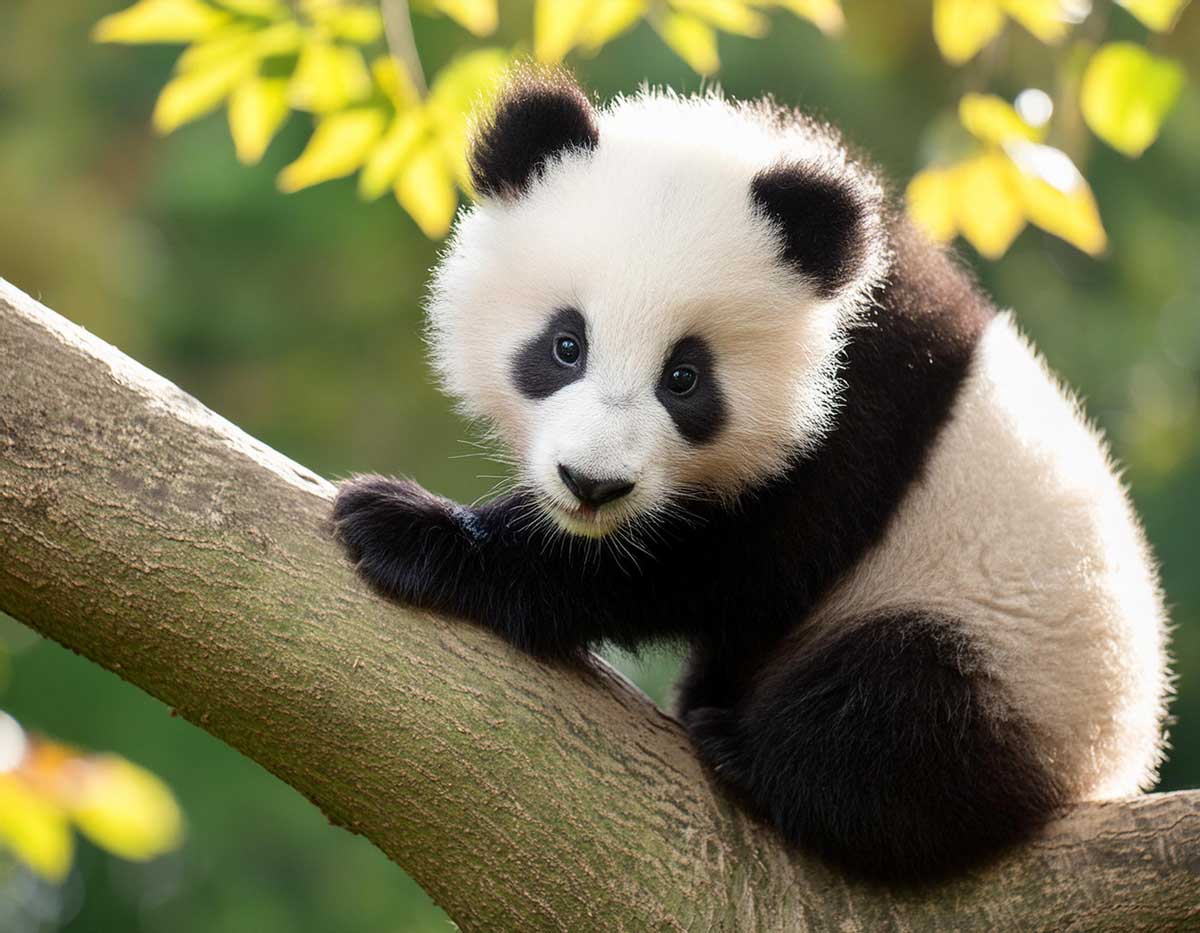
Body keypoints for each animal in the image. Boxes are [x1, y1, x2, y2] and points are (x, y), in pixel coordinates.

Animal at [333, 69, 1171, 882]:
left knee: (906, 712)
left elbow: (721, 563)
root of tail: (1107, 770)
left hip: (1016, 653)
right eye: (565, 344)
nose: (593, 484)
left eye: (685, 378)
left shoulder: (858, 414)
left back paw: (752, 752)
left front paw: (412, 530)